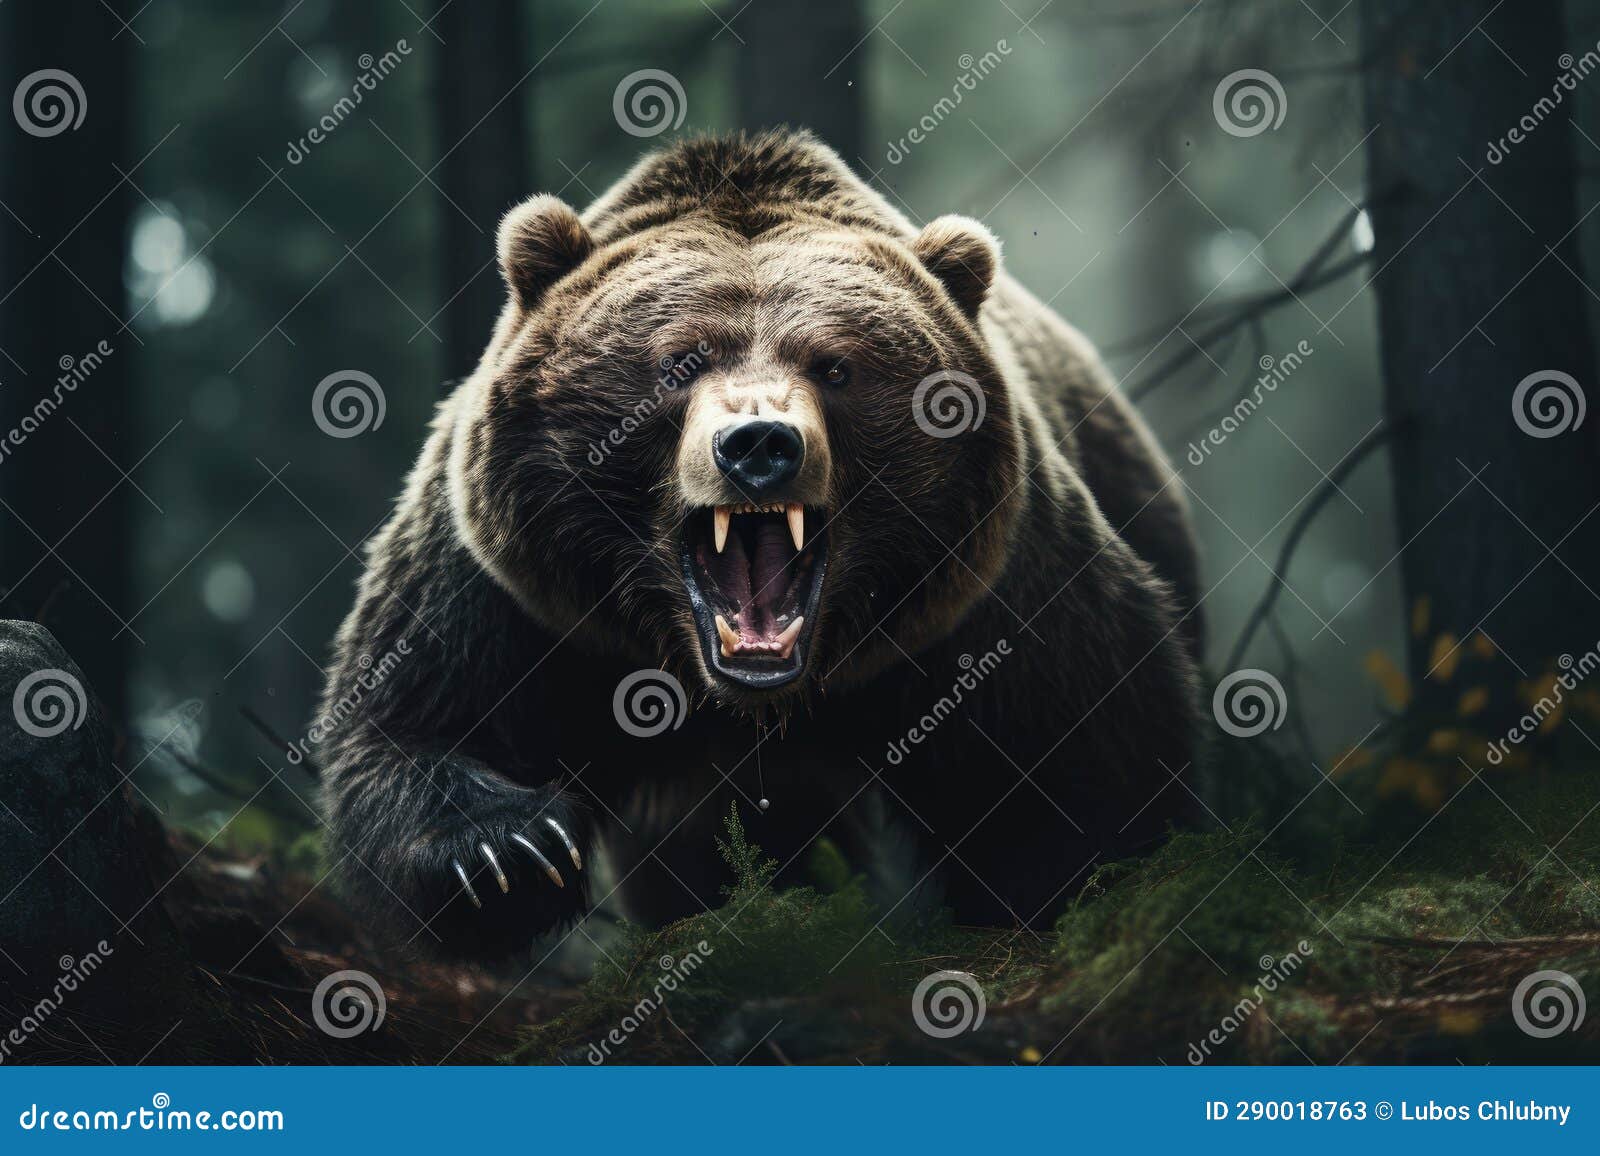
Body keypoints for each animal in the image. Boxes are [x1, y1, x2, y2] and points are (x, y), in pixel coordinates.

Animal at [317, 130, 1202, 958]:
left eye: (837, 366)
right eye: (680, 362)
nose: (758, 444)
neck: (757, 698)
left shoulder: (988, 594)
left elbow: (1079, 761)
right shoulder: (513, 593)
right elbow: (413, 719)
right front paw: (509, 853)